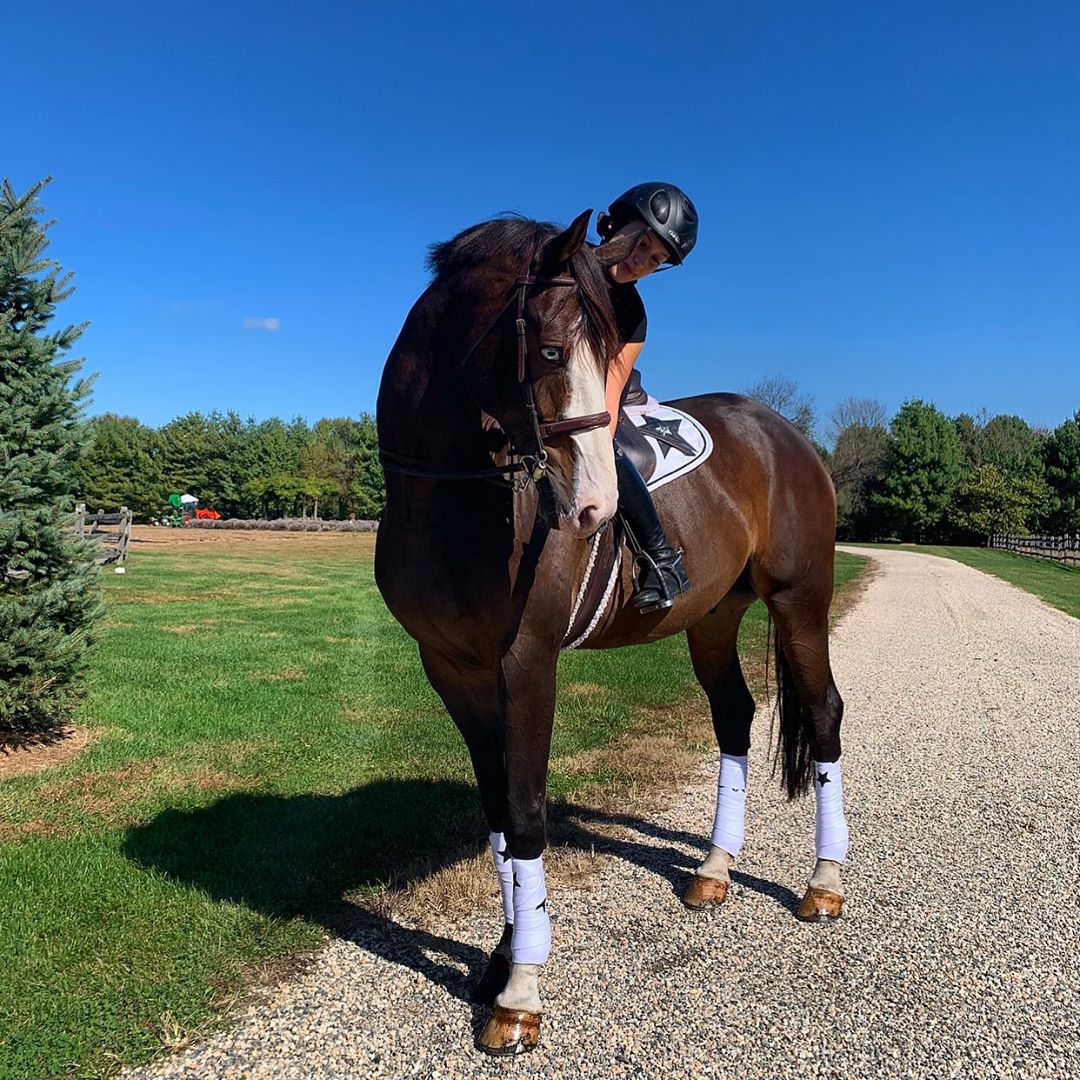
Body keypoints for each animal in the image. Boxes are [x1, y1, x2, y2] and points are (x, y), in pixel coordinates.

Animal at [374, 211, 848, 1056]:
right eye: (549, 352)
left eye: (599, 353)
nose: (593, 508)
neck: (450, 500)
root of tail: (783, 432)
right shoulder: (451, 668)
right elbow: (498, 814)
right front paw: (503, 958)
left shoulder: (526, 663)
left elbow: (527, 814)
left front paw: (520, 994)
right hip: (713, 619)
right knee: (735, 718)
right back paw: (715, 870)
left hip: (801, 600)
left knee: (823, 712)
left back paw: (823, 884)